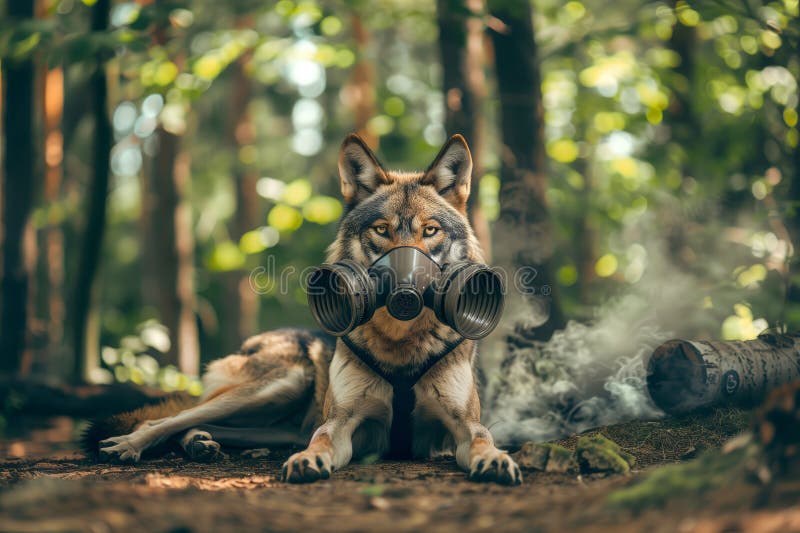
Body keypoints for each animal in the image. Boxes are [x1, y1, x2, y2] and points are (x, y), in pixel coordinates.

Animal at [86, 134, 522, 485]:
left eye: (430, 231)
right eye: (381, 230)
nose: (405, 291)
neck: (401, 348)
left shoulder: (463, 425)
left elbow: (484, 439)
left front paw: (497, 460)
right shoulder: (341, 423)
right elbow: (322, 440)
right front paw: (308, 460)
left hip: (274, 418)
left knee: (202, 423)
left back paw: (201, 445)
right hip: (277, 387)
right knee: (167, 418)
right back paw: (130, 444)